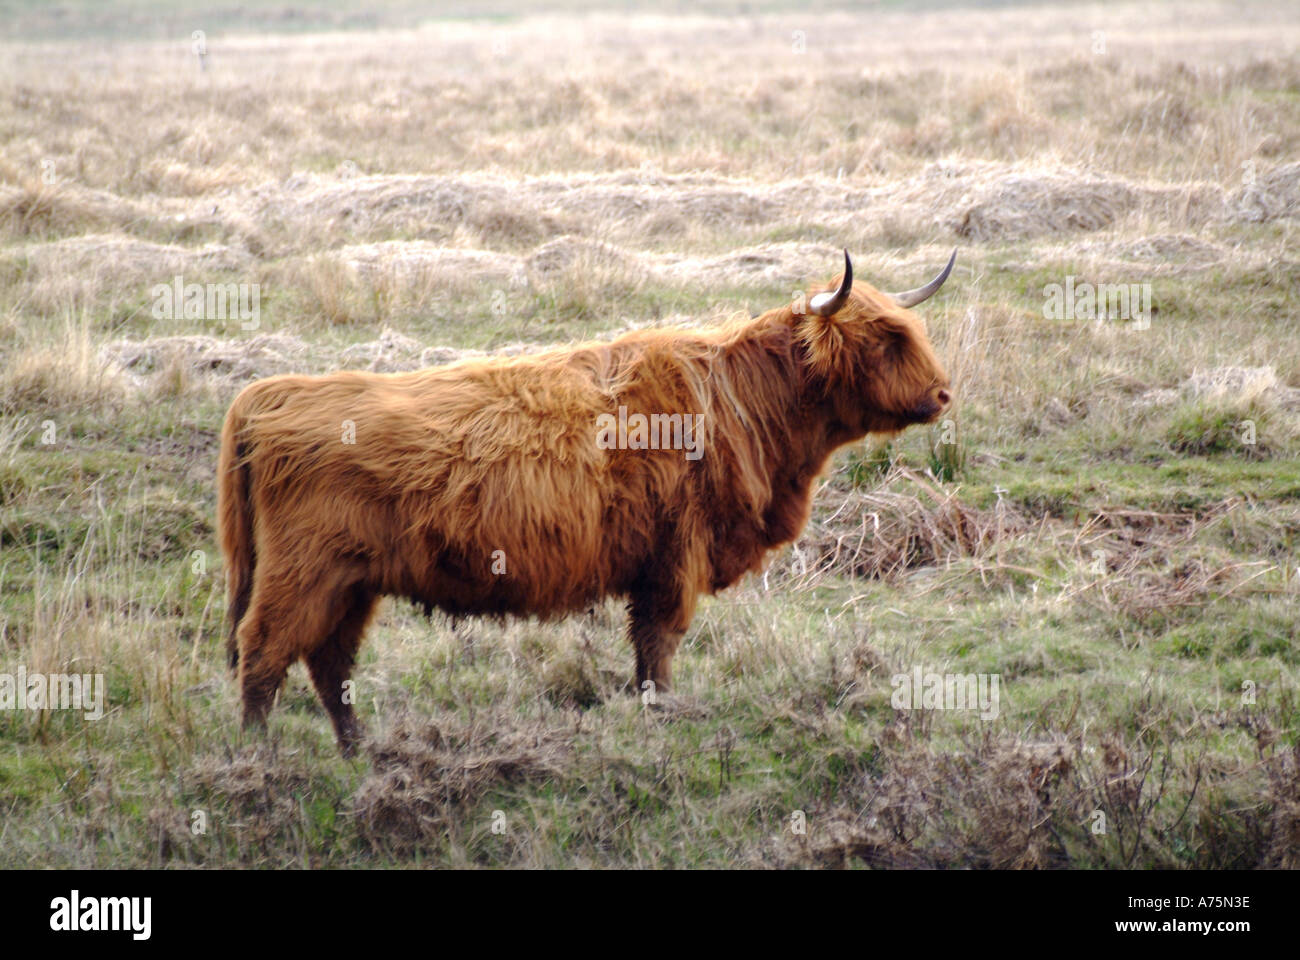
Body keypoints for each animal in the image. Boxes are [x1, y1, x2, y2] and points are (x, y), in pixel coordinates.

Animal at [218, 249, 955, 754]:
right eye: (888, 340)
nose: (944, 392)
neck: (745, 402)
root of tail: (270, 394)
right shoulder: (675, 557)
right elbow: (659, 643)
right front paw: (661, 714)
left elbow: (647, 646)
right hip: (302, 573)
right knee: (265, 652)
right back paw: (257, 759)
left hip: (351, 583)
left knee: (328, 662)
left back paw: (359, 751)